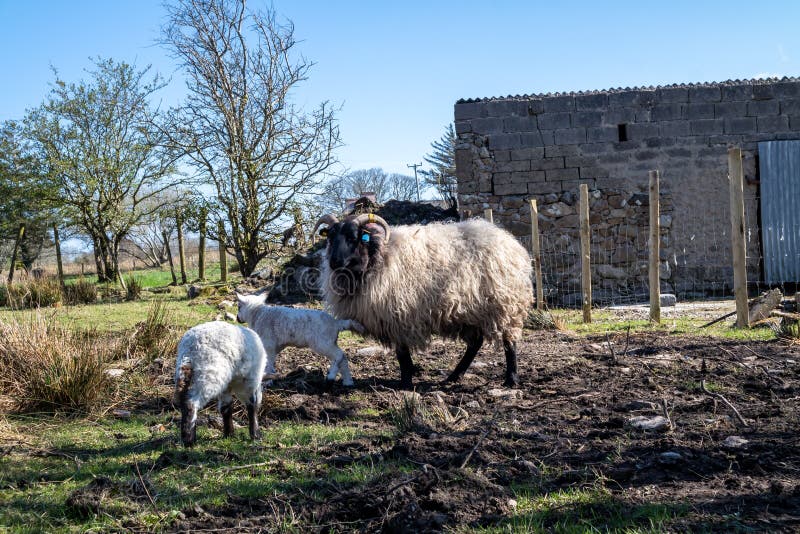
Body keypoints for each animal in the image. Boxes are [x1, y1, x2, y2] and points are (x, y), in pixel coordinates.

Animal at [235, 292, 364, 386]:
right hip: (330, 341)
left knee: (339, 355)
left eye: (239, 307)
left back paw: (331, 376)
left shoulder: (268, 346)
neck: (259, 314)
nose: (237, 318)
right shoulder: (274, 347)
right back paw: (348, 382)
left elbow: (268, 363)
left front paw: (267, 381)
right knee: (343, 359)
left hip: (322, 342)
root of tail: (336, 323)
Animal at [313, 212, 533, 390]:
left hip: (504, 305)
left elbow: (402, 354)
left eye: (353, 237)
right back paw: (454, 376)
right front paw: (409, 376)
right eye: (330, 237)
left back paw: (511, 379)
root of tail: (509, 241)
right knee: (475, 344)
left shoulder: (399, 316)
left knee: (509, 342)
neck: (378, 258)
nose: (334, 262)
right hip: (471, 310)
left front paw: (405, 382)